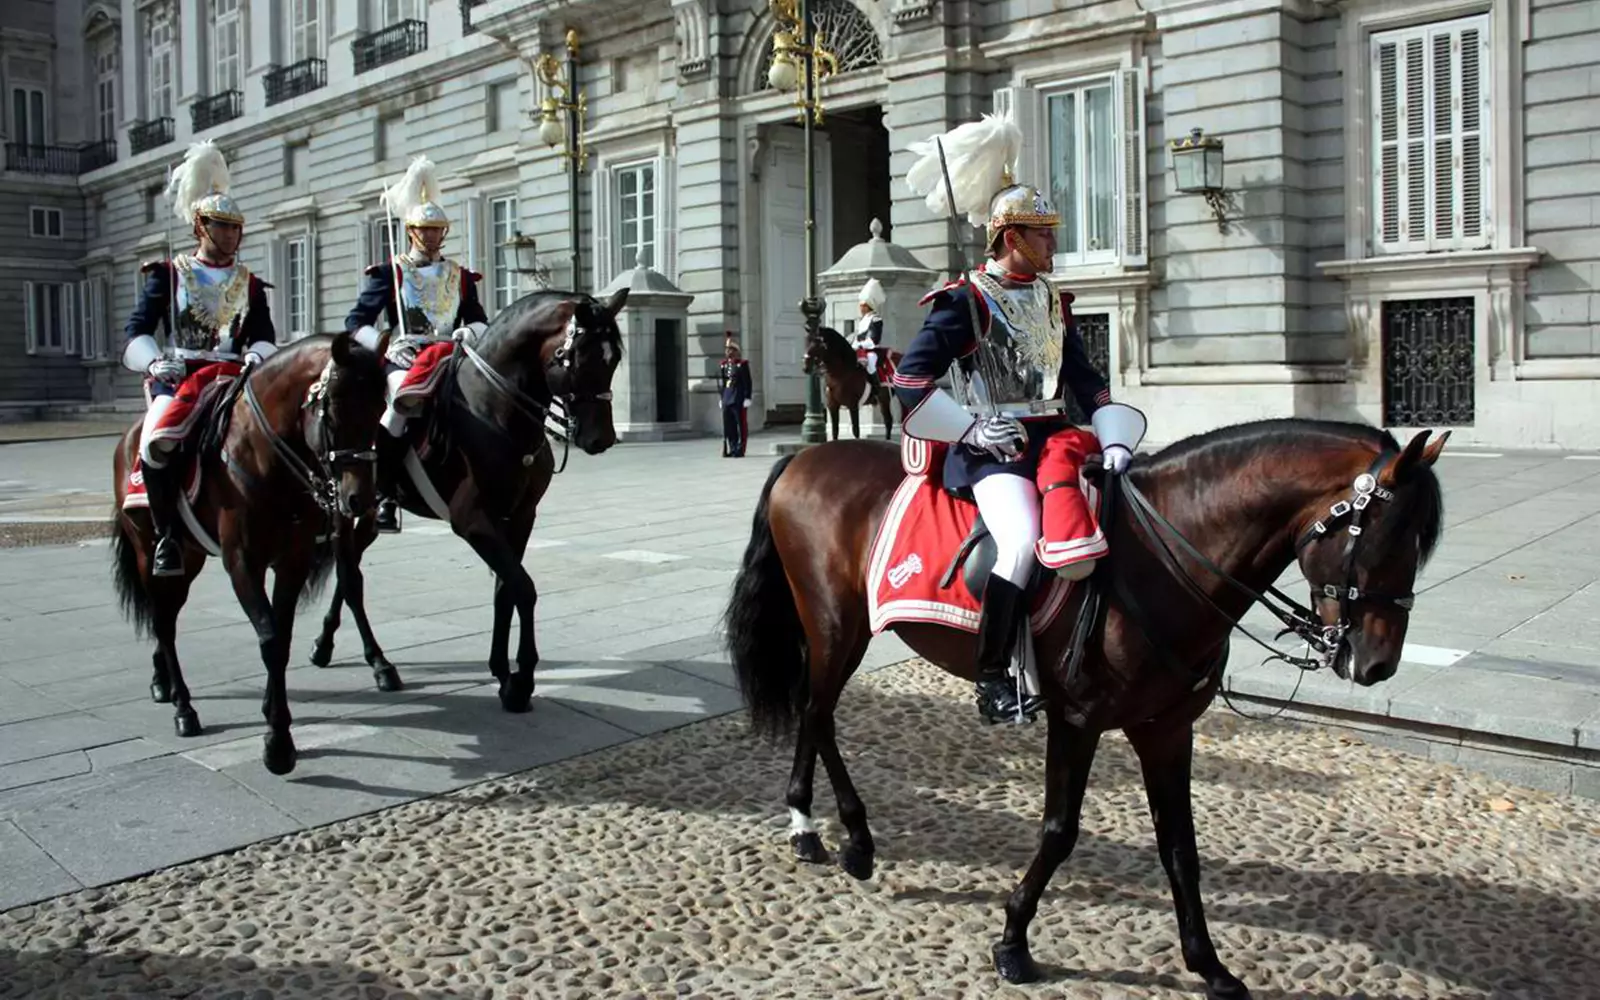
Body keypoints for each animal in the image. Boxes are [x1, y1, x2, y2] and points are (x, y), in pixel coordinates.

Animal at [111, 331, 392, 777]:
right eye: (335, 411)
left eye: (381, 407)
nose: (359, 499)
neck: (267, 456)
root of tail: (127, 440)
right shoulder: (243, 562)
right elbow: (270, 637)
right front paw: (278, 742)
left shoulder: (292, 560)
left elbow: (284, 636)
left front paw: (272, 713)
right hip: (148, 551)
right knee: (163, 622)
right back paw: (183, 707)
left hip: (191, 557)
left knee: (165, 616)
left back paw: (163, 682)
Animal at [305, 286, 624, 710]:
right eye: (580, 358)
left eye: (614, 358)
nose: (601, 439)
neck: (494, 411)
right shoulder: (472, 520)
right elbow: (523, 587)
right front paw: (521, 680)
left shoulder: (519, 517)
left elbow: (506, 589)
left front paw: (504, 673)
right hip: (345, 505)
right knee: (349, 576)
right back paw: (379, 664)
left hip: (367, 513)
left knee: (349, 570)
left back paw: (325, 645)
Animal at [726, 416, 1452, 992]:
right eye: (1384, 535)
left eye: (1420, 539)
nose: (1377, 662)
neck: (1164, 558)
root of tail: (806, 457)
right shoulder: (1076, 720)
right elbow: (1060, 831)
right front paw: (1013, 940)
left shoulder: (1167, 729)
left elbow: (1180, 846)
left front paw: (1208, 964)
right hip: (835, 624)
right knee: (817, 713)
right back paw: (840, 835)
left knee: (814, 715)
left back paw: (819, 831)